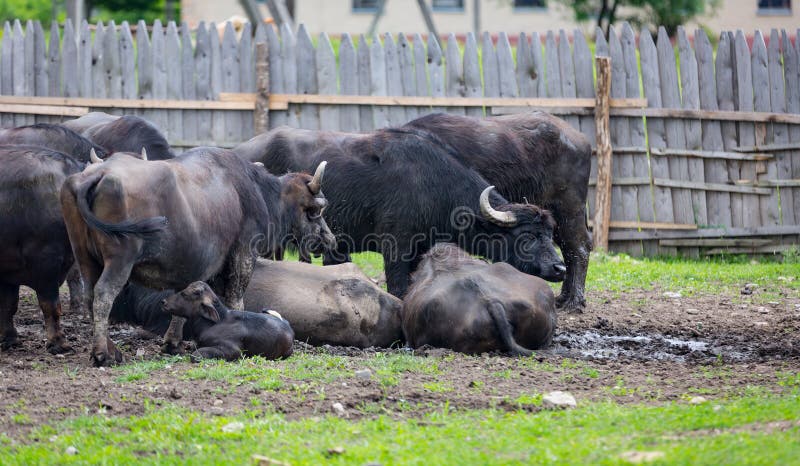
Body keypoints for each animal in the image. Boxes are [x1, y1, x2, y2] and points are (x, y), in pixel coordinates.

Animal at [235, 126, 565, 299]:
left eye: (550, 234)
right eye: (527, 236)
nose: (560, 268)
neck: (434, 187)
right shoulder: (396, 247)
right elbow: (397, 286)